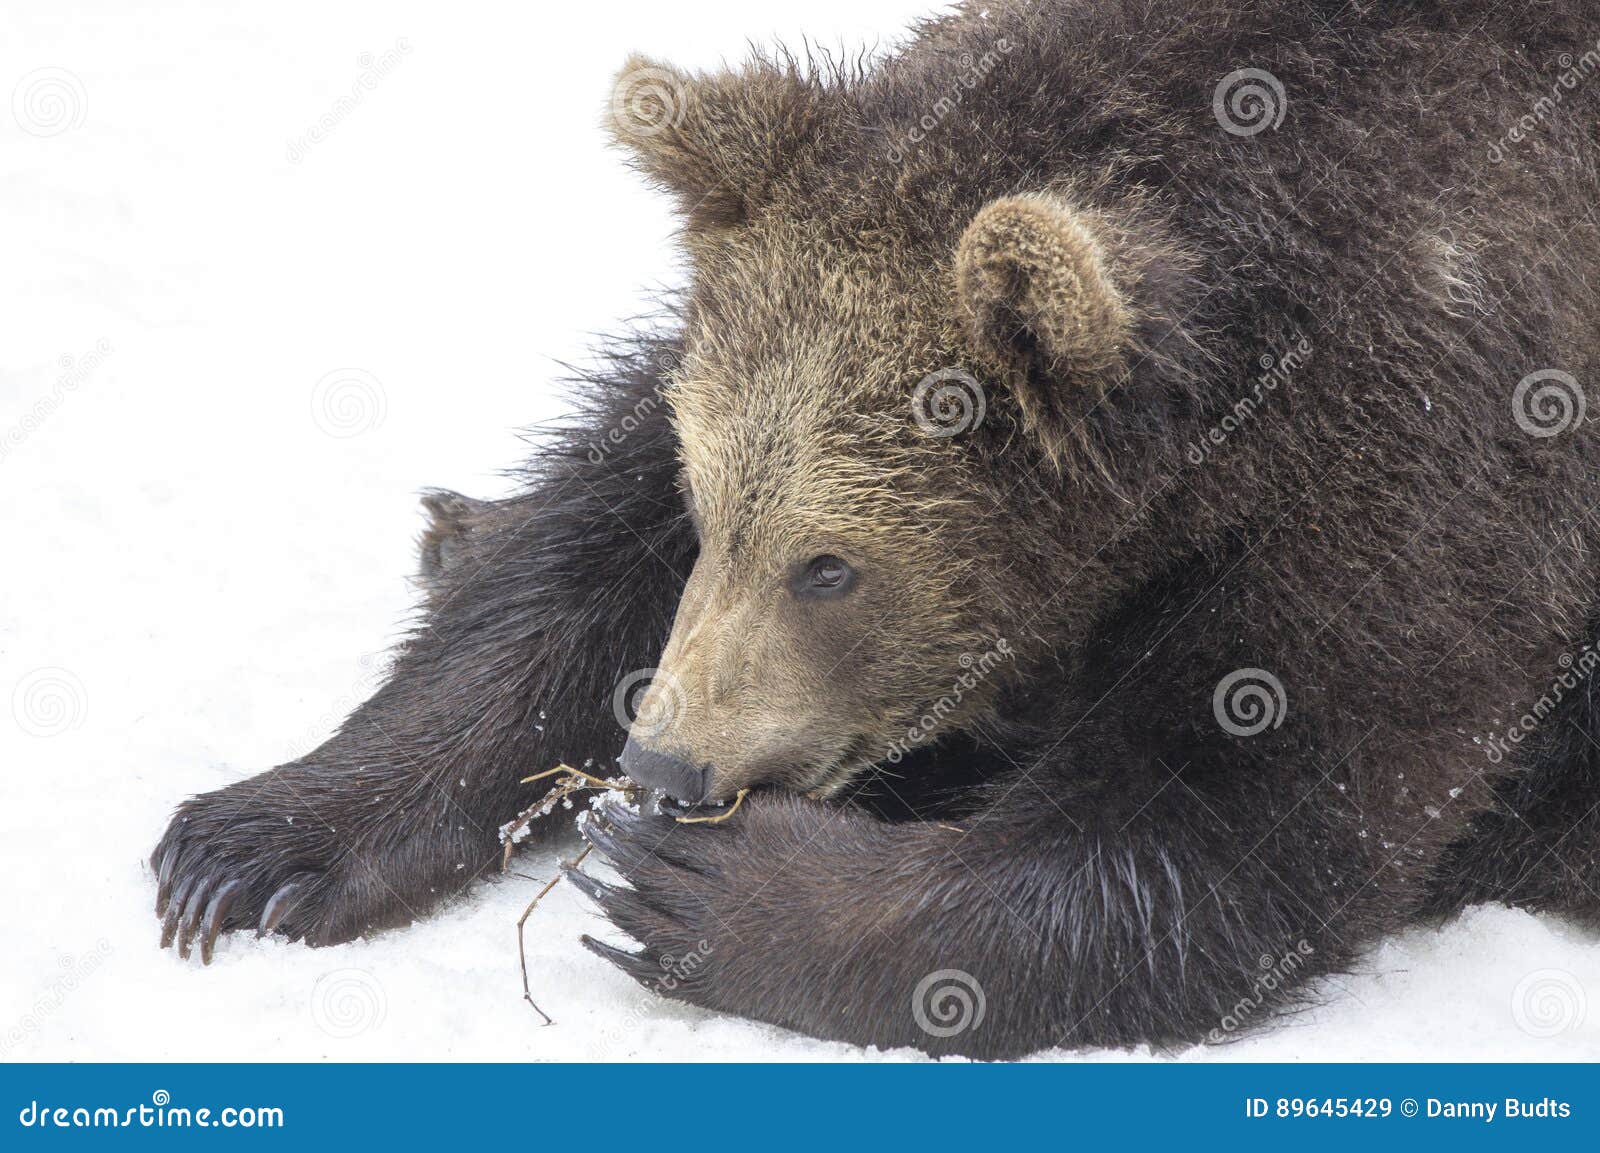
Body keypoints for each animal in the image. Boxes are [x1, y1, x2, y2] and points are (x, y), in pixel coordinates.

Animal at [151, 0, 1600, 1059]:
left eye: (832, 567)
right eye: (716, 509)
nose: (667, 759)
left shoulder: (1434, 462)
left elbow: (1244, 814)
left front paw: (701, 884)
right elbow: (565, 562)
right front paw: (248, 846)